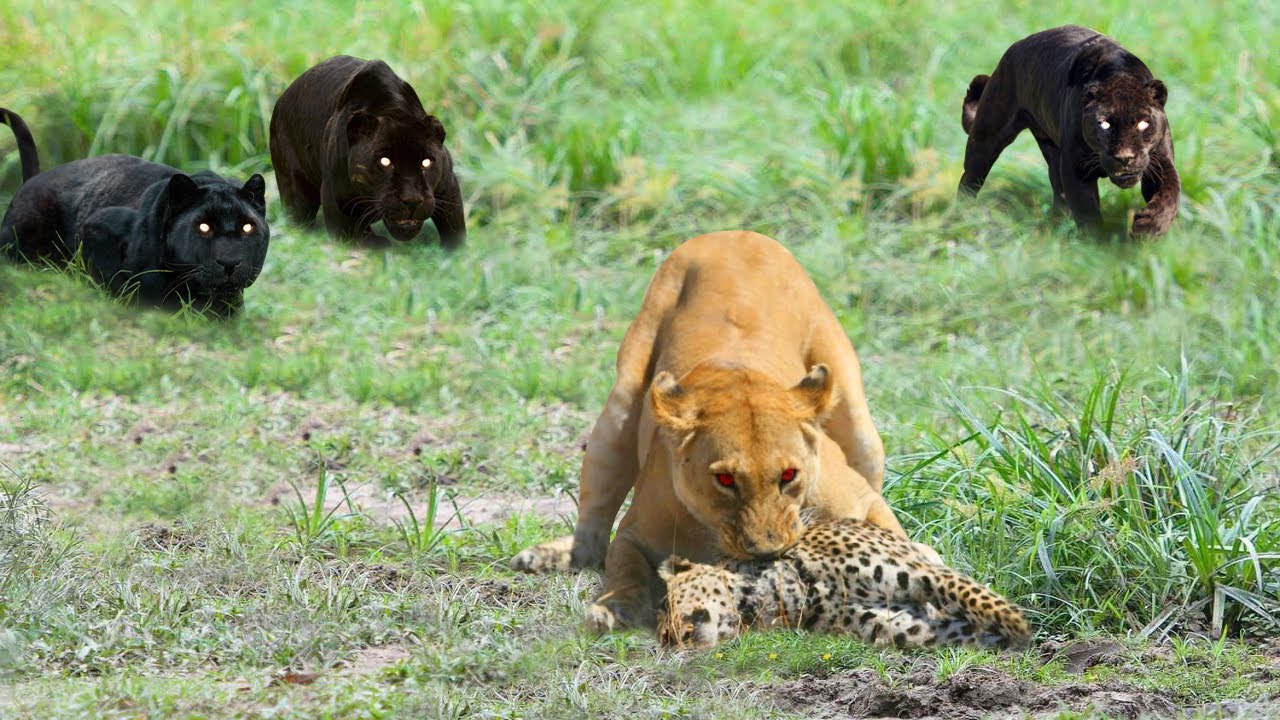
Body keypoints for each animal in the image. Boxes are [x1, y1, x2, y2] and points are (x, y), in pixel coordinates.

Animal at [511, 230, 925, 632]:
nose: (766, 552)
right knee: (593, 538)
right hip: (619, 407)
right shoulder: (634, 533)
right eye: (725, 479)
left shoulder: (864, 500)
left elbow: (901, 543)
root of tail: (732, 233)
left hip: (857, 420)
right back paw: (542, 558)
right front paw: (614, 610)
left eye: (789, 475)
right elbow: (624, 568)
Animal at [658, 518, 1031, 649]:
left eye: (665, 604)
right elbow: (979, 634)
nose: (667, 640)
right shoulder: (920, 630)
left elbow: (982, 600)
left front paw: (1024, 631)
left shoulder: (923, 574)